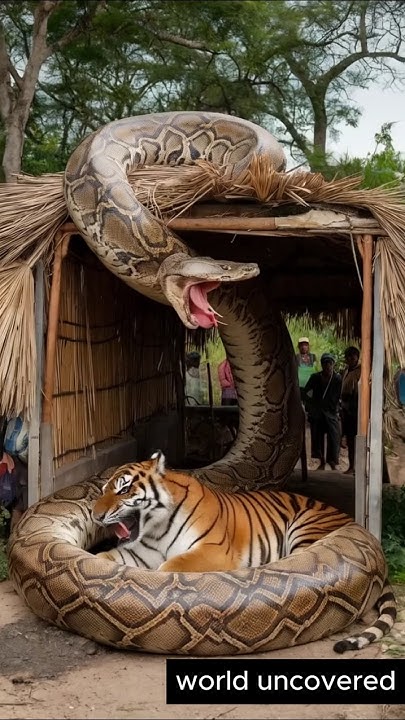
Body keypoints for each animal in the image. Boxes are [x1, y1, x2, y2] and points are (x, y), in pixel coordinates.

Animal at [92, 450, 353, 572]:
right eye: (103, 490)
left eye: (124, 489)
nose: (96, 516)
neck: (157, 529)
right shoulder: (140, 554)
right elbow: (103, 557)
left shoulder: (212, 550)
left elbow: (171, 566)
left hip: (305, 528)